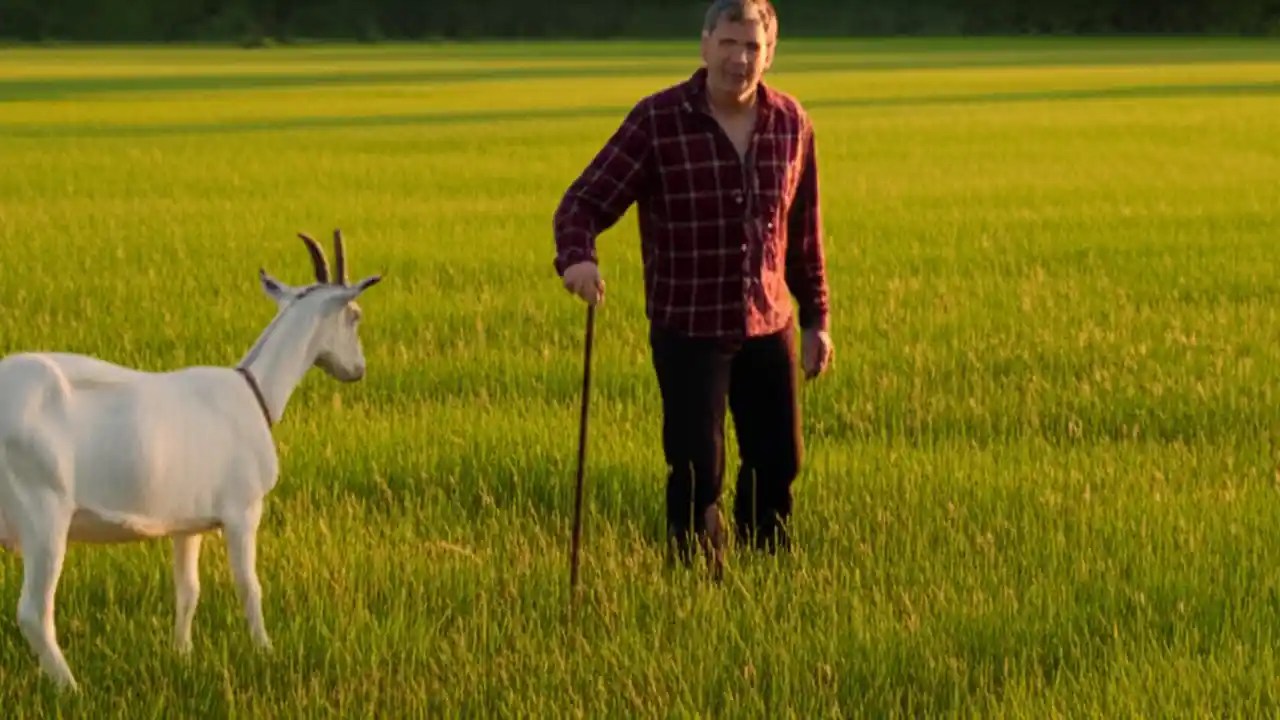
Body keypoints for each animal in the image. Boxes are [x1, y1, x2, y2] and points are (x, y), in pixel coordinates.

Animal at [0, 230, 382, 689]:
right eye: (355, 316)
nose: (357, 370)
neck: (255, 391)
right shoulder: (243, 510)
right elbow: (249, 585)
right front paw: (265, 651)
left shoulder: (187, 523)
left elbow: (188, 590)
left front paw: (181, 655)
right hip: (43, 511)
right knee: (34, 612)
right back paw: (71, 689)